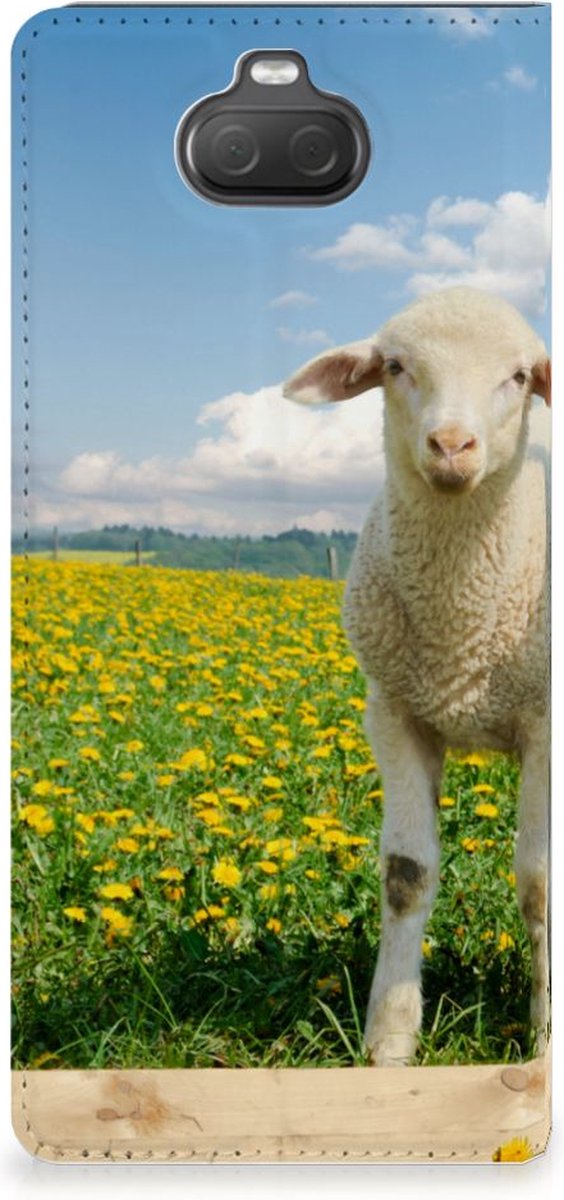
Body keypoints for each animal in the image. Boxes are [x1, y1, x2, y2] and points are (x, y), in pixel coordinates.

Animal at [283, 286, 550, 1066]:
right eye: (396, 367)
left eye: (520, 377)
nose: (452, 447)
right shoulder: (395, 712)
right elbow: (407, 875)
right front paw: (389, 1041)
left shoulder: (544, 722)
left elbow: (539, 885)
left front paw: (545, 1042)